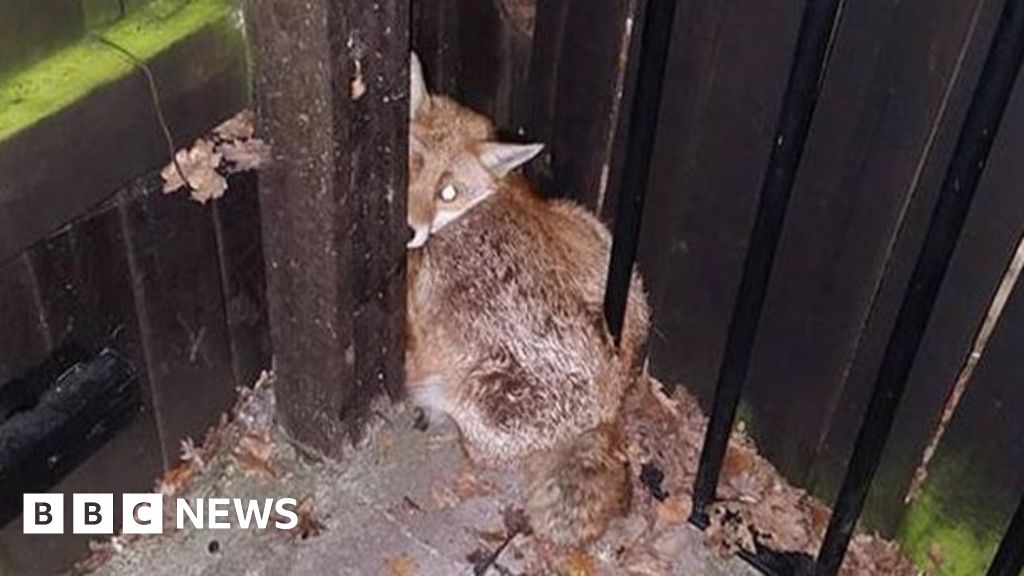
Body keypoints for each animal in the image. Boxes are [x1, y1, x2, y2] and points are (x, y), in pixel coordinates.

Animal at [405, 52, 650, 547]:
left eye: (447, 191)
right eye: (412, 163)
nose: (409, 230)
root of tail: (608, 413)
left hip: (480, 401)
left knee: (472, 442)